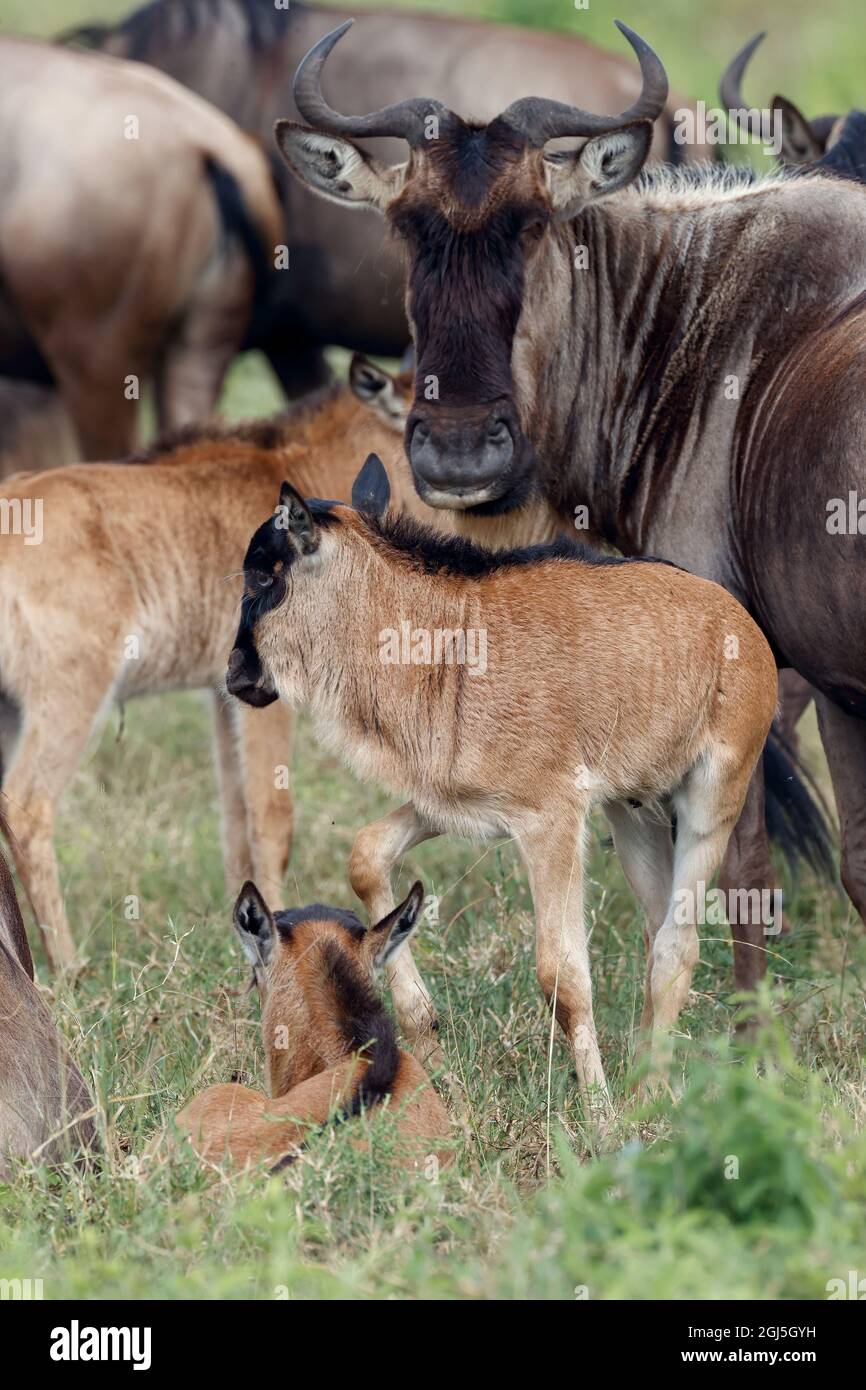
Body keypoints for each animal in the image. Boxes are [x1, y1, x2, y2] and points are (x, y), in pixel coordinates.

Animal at [226, 457, 779, 1101]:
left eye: (262, 577)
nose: (235, 676)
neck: (443, 647)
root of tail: (738, 620)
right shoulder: (449, 803)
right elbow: (366, 855)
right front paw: (427, 1041)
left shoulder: (551, 823)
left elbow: (562, 974)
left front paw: (597, 1112)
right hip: (632, 814)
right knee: (655, 929)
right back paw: (651, 1082)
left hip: (712, 802)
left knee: (677, 945)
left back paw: (642, 1102)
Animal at [277, 19, 863, 998]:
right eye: (405, 227)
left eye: (533, 223)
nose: (459, 450)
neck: (692, 326)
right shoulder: (838, 687)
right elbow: (850, 863)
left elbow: (739, 867)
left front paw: (746, 1028)